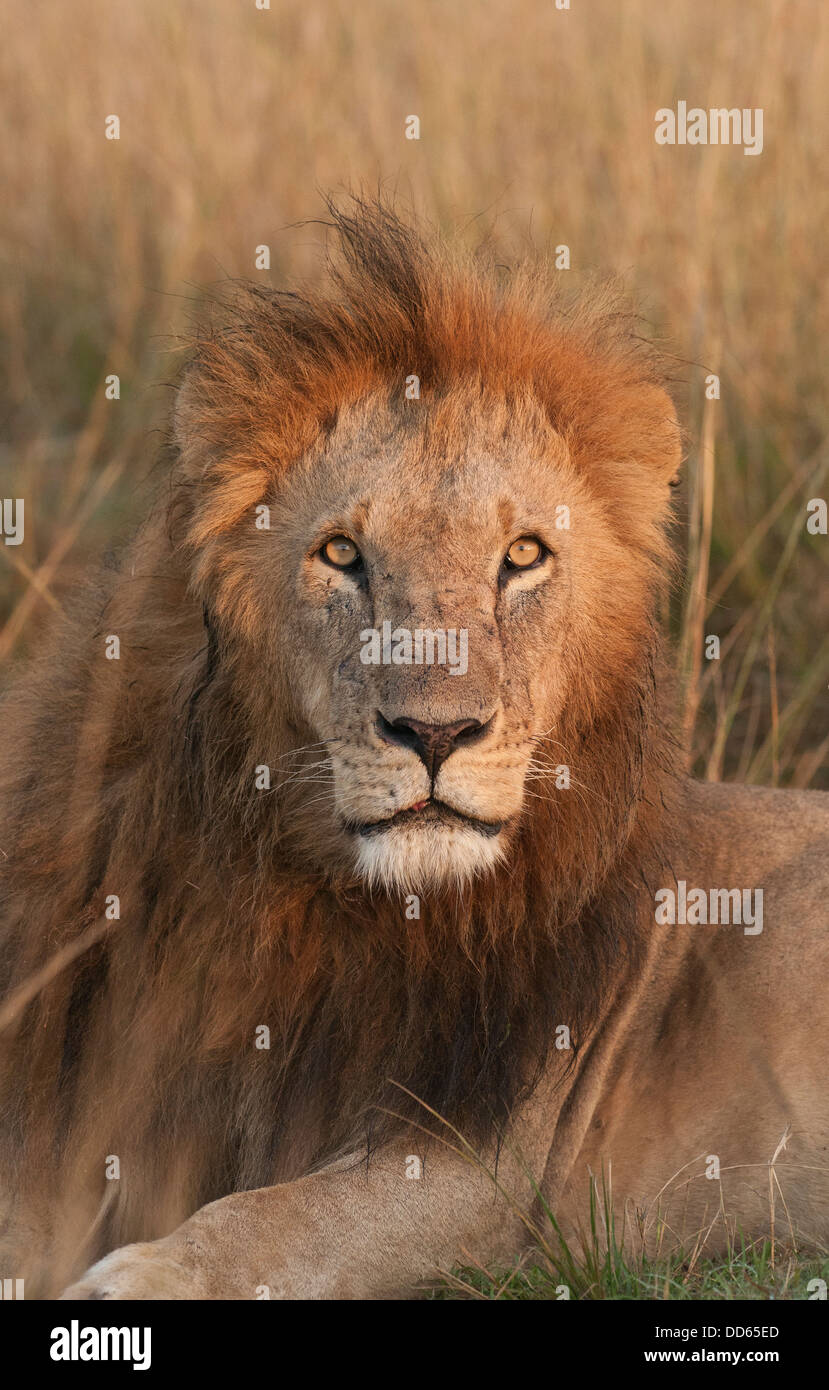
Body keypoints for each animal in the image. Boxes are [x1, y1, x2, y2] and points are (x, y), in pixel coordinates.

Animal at [1, 200, 827, 1300]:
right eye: (342, 555)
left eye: (522, 556)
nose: (436, 732)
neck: (306, 899)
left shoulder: (492, 1165)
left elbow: (278, 1218)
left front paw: (145, 1277)